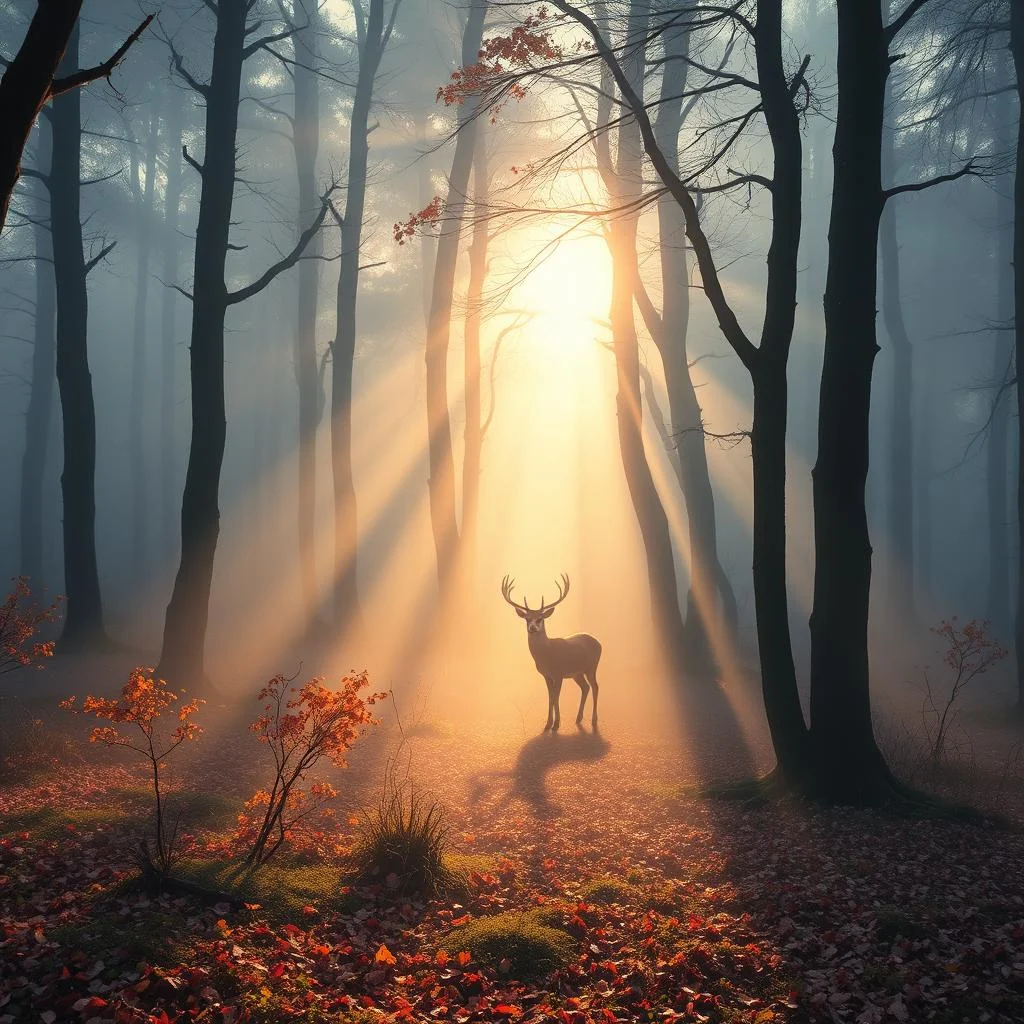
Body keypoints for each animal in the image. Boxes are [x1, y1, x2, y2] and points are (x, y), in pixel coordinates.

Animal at [501, 574, 602, 732]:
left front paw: (556, 724)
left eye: (540, 618)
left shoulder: (559, 673)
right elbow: (550, 697)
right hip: (577, 673)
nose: (532, 627)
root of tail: (599, 642)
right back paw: (578, 718)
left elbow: (556, 697)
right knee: (585, 687)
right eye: (527, 619)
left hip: (592, 667)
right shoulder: (547, 675)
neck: (547, 654)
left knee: (595, 686)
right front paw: (548, 724)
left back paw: (594, 720)